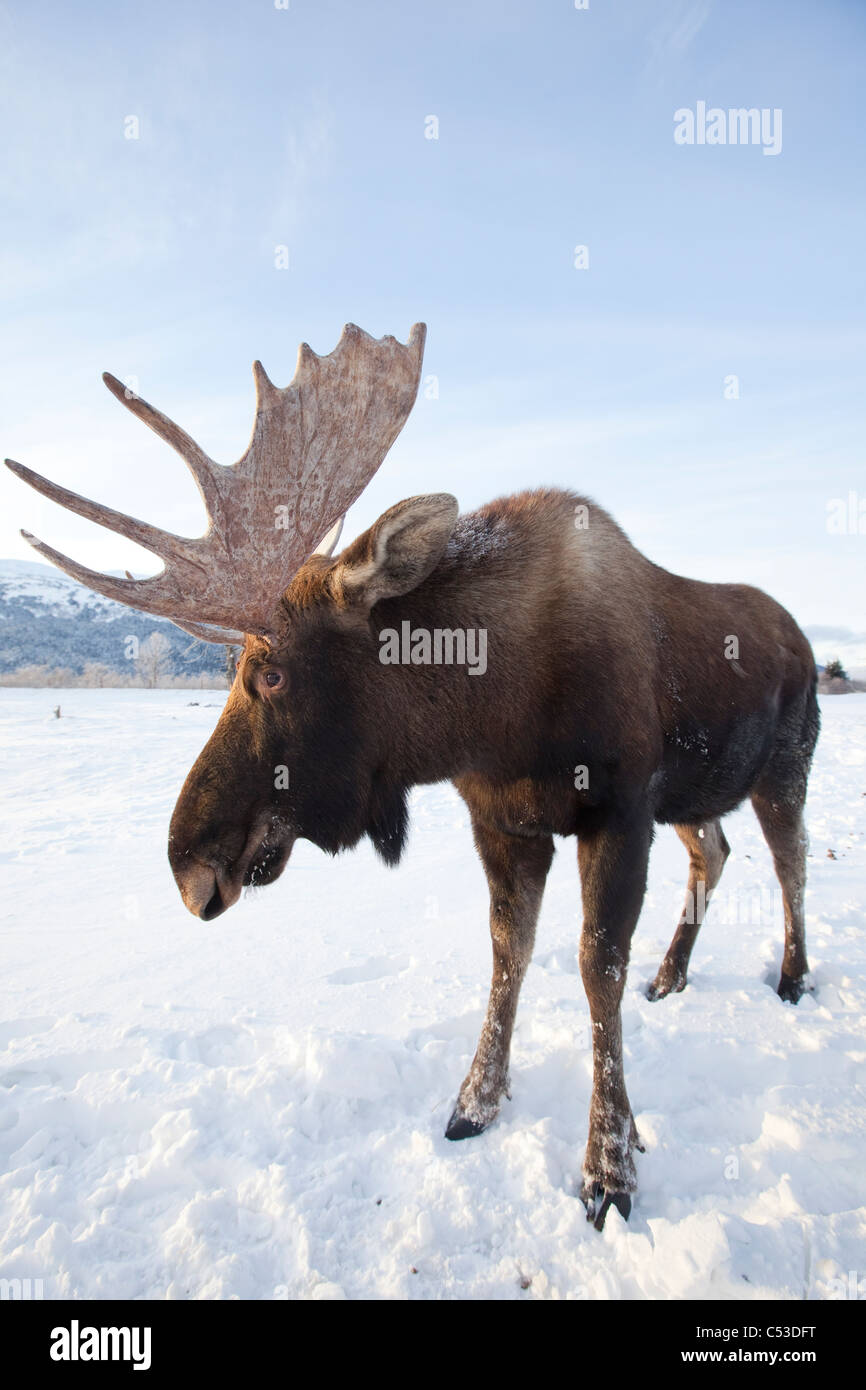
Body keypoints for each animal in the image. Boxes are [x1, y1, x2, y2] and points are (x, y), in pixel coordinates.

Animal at [6, 322, 819, 1230]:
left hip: (783, 768)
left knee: (788, 860)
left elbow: (594, 968)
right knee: (714, 852)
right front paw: (477, 1100)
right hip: (692, 796)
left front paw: (610, 1164)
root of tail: (803, 637)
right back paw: (674, 972)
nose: (188, 861)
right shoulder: (502, 820)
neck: (494, 717)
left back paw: (792, 975)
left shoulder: (618, 809)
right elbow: (508, 950)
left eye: (269, 673)